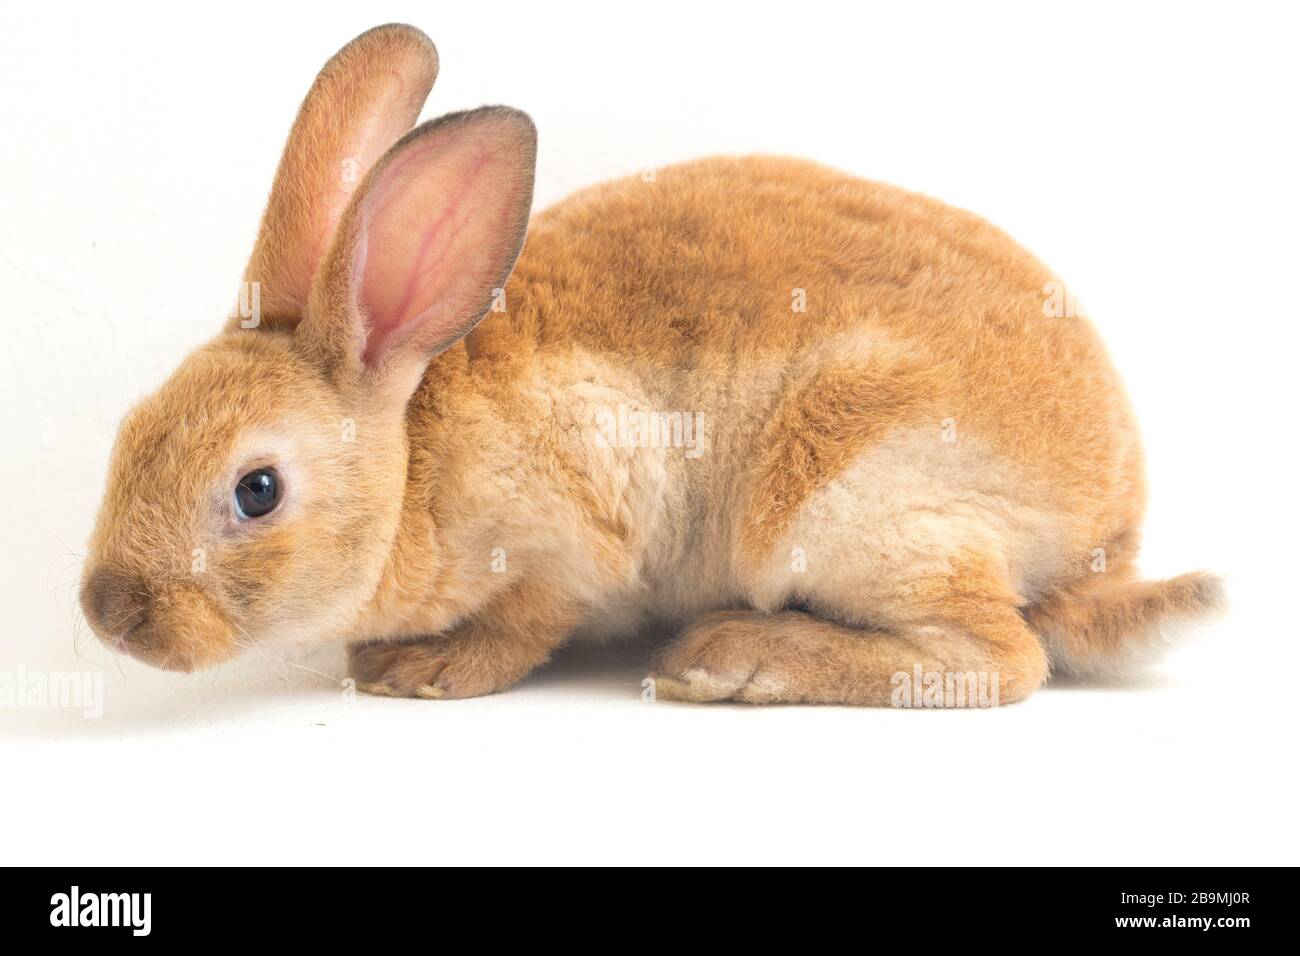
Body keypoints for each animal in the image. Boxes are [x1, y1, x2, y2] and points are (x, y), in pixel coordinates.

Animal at [79, 23, 1223, 706]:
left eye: (257, 489)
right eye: (131, 430)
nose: (107, 617)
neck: (407, 467)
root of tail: (1104, 549)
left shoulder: (568, 542)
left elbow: (526, 624)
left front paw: (419, 670)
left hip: (853, 499)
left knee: (999, 657)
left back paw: (732, 660)